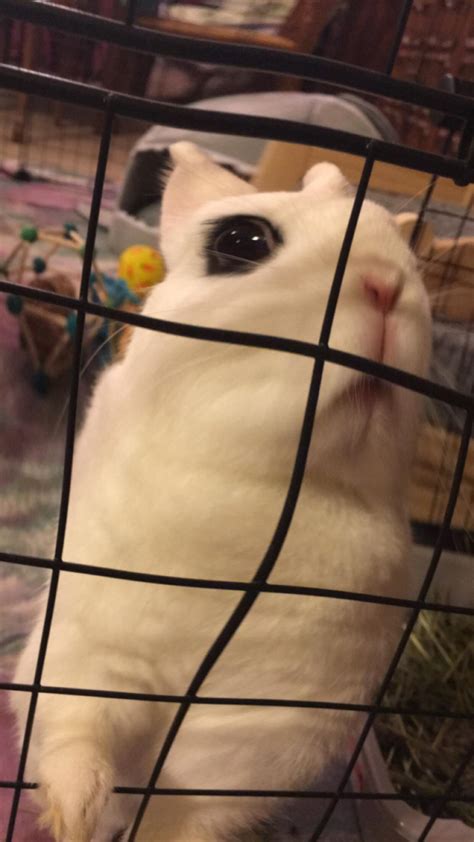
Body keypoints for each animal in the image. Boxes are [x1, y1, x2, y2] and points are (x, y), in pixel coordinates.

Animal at [10, 141, 432, 842]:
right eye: (240, 240)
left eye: (411, 262)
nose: (386, 284)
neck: (264, 487)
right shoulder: (89, 660)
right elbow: (78, 739)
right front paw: (72, 815)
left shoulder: (256, 746)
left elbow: (189, 820)